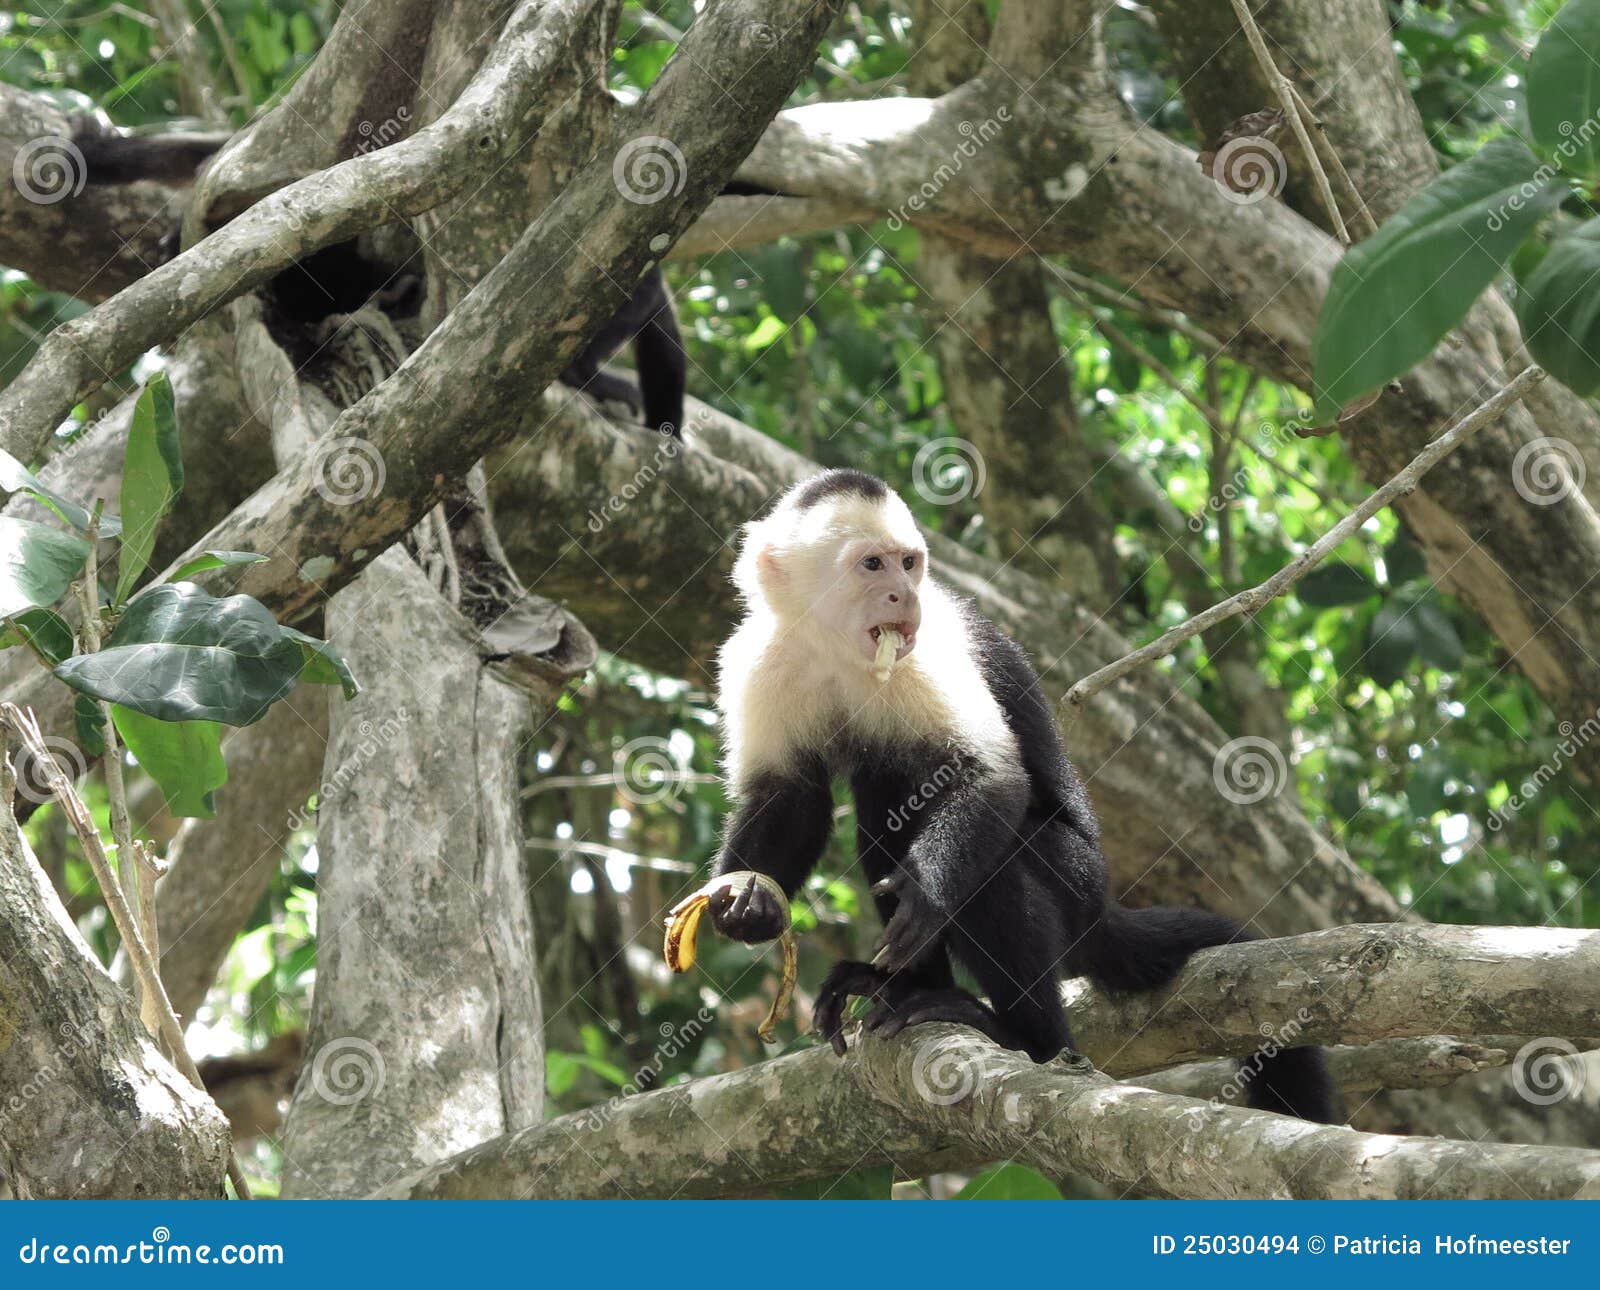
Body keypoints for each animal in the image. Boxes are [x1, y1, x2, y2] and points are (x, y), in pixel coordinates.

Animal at [704, 468, 1338, 1123]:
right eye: (872, 564)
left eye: (909, 563)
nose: (904, 596)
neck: (838, 650)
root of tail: (1102, 905)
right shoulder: (759, 660)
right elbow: (789, 797)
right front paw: (749, 902)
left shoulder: (924, 657)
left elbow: (992, 778)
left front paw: (927, 893)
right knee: (884, 820)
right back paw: (910, 988)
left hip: (1077, 881)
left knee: (992, 864)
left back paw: (1027, 1037)